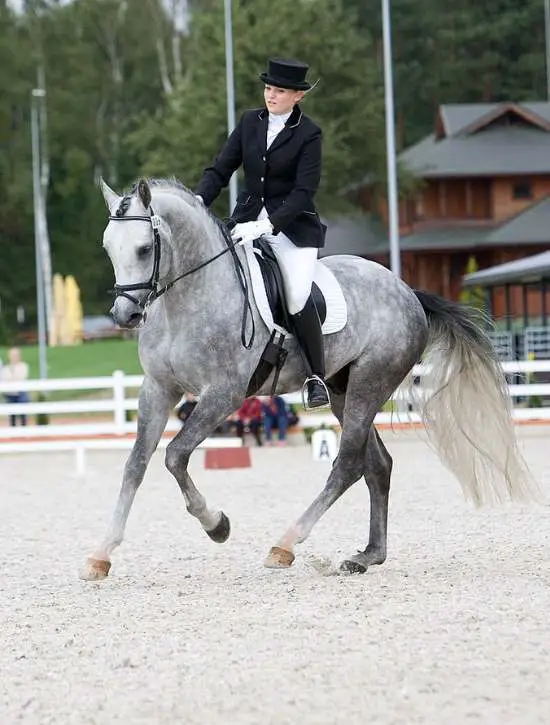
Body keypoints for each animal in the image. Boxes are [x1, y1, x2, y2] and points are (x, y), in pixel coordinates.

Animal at [80, 176, 538, 581]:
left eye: (144, 248)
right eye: (108, 247)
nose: (125, 315)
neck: (187, 300)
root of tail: (408, 291)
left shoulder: (223, 395)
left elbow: (175, 456)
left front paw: (217, 525)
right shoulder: (158, 389)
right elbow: (135, 465)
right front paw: (101, 555)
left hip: (370, 383)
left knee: (348, 464)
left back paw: (285, 545)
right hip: (342, 389)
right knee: (378, 465)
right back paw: (366, 557)